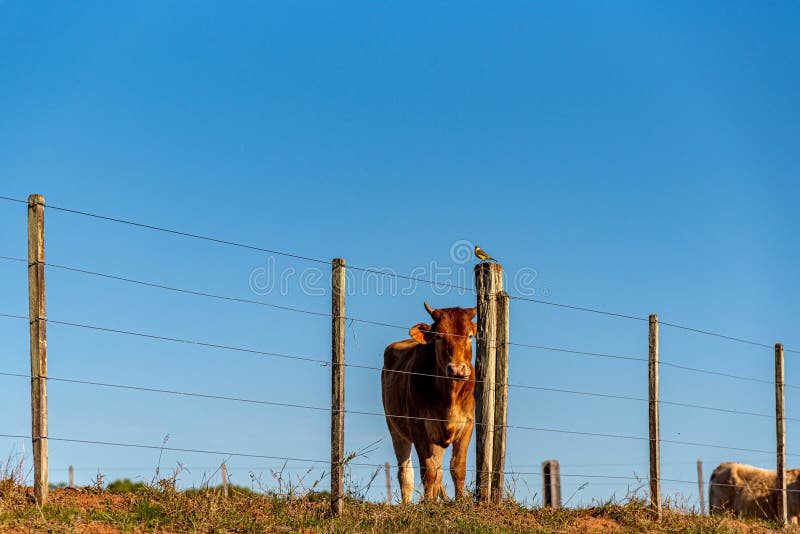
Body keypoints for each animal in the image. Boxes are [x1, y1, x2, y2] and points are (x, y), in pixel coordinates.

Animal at [382, 302, 477, 504]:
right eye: (439, 336)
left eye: (470, 336)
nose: (457, 369)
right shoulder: (419, 427)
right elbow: (428, 471)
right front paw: (426, 503)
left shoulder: (467, 425)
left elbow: (457, 467)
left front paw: (461, 501)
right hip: (395, 429)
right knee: (406, 472)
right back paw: (408, 504)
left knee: (438, 470)